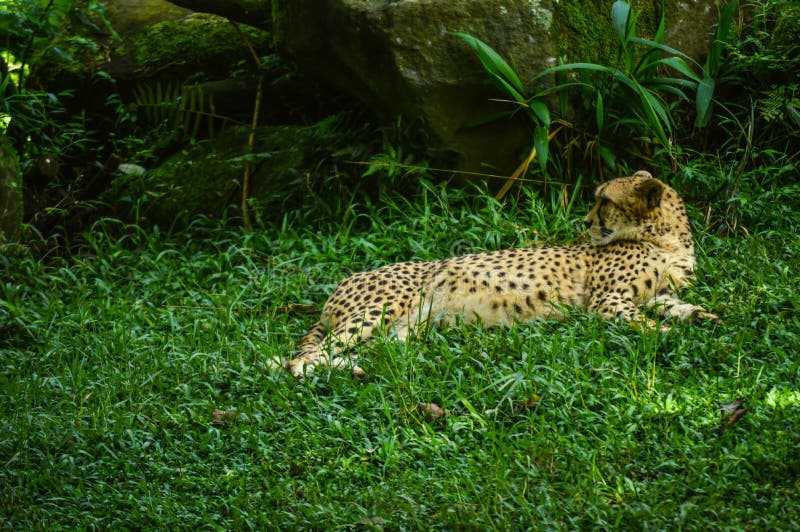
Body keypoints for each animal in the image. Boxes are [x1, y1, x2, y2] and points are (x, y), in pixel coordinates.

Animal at [285, 170, 718, 377]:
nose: (585, 222)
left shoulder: (656, 294)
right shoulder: (607, 299)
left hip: (401, 334)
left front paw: (704, 317)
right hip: (379, 312)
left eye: (605, 201)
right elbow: (642, 322)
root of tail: (343, 282)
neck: (666, 238)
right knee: (295, 361)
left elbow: (677, 306)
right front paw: (665, 336)